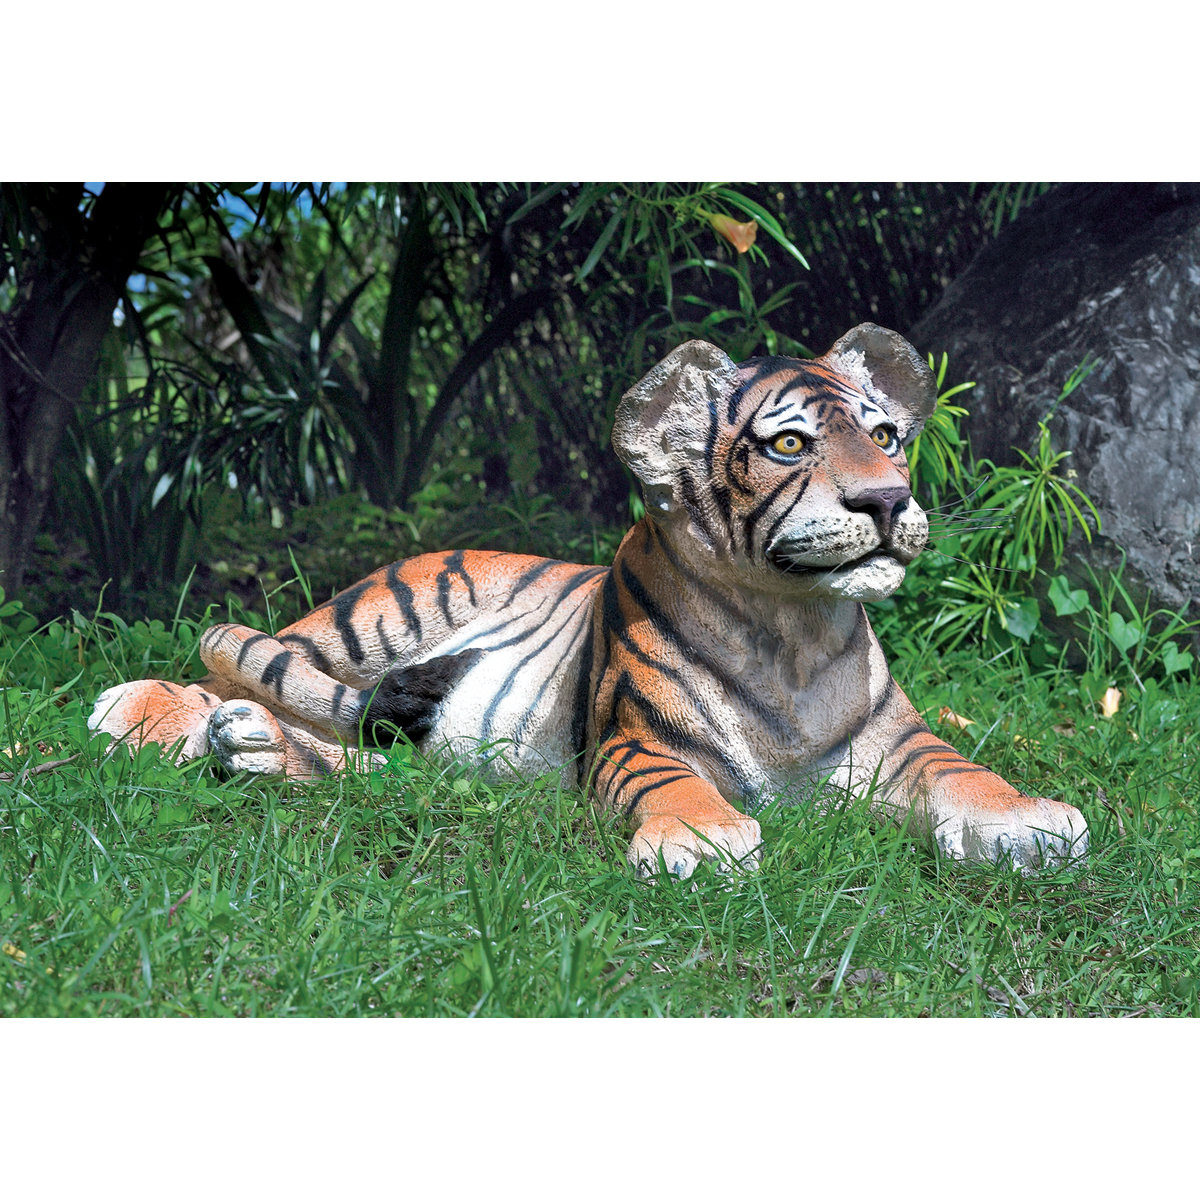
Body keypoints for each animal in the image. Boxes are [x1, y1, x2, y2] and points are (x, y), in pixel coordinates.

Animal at [89, 323, 1089, 878]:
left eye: (885, 435)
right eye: (790, 445)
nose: (887, 500)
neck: (792, 629)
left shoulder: (901, 742)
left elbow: (967, 772)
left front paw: (1031, 822)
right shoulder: (637, 739)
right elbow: (674, 787)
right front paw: (701, 844)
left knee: (384, 769)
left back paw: (257, 750)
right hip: (376, 615)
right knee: (245, 666)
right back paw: (148, 712)